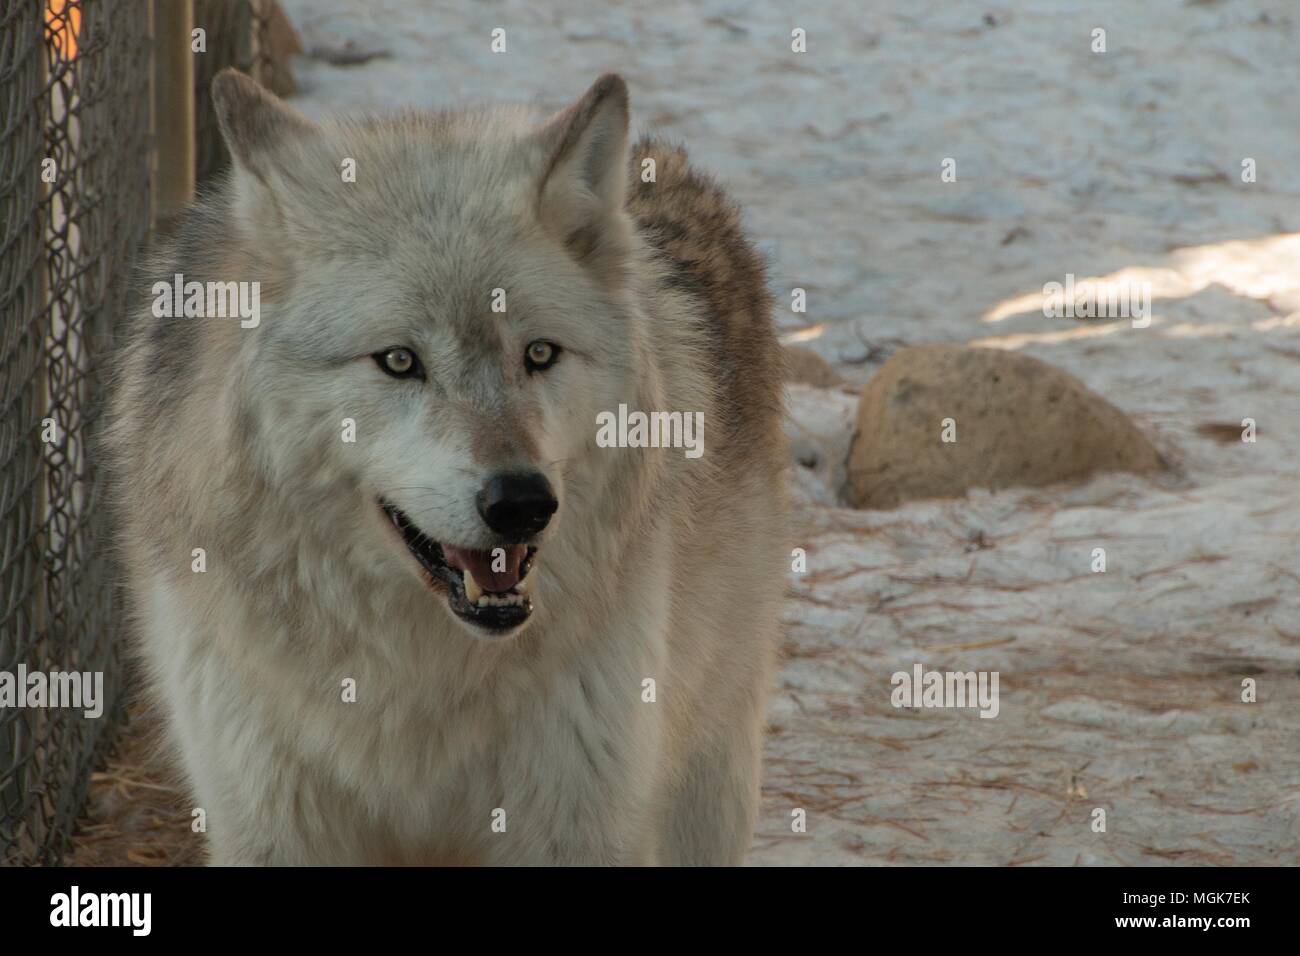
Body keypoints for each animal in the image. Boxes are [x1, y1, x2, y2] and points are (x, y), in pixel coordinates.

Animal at [106, 69, 787, 865]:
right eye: (400, 361)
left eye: (539, 353)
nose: (522, 502)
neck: (412, 677)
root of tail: (662, 160)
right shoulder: (275, 826)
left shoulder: (575, 826)